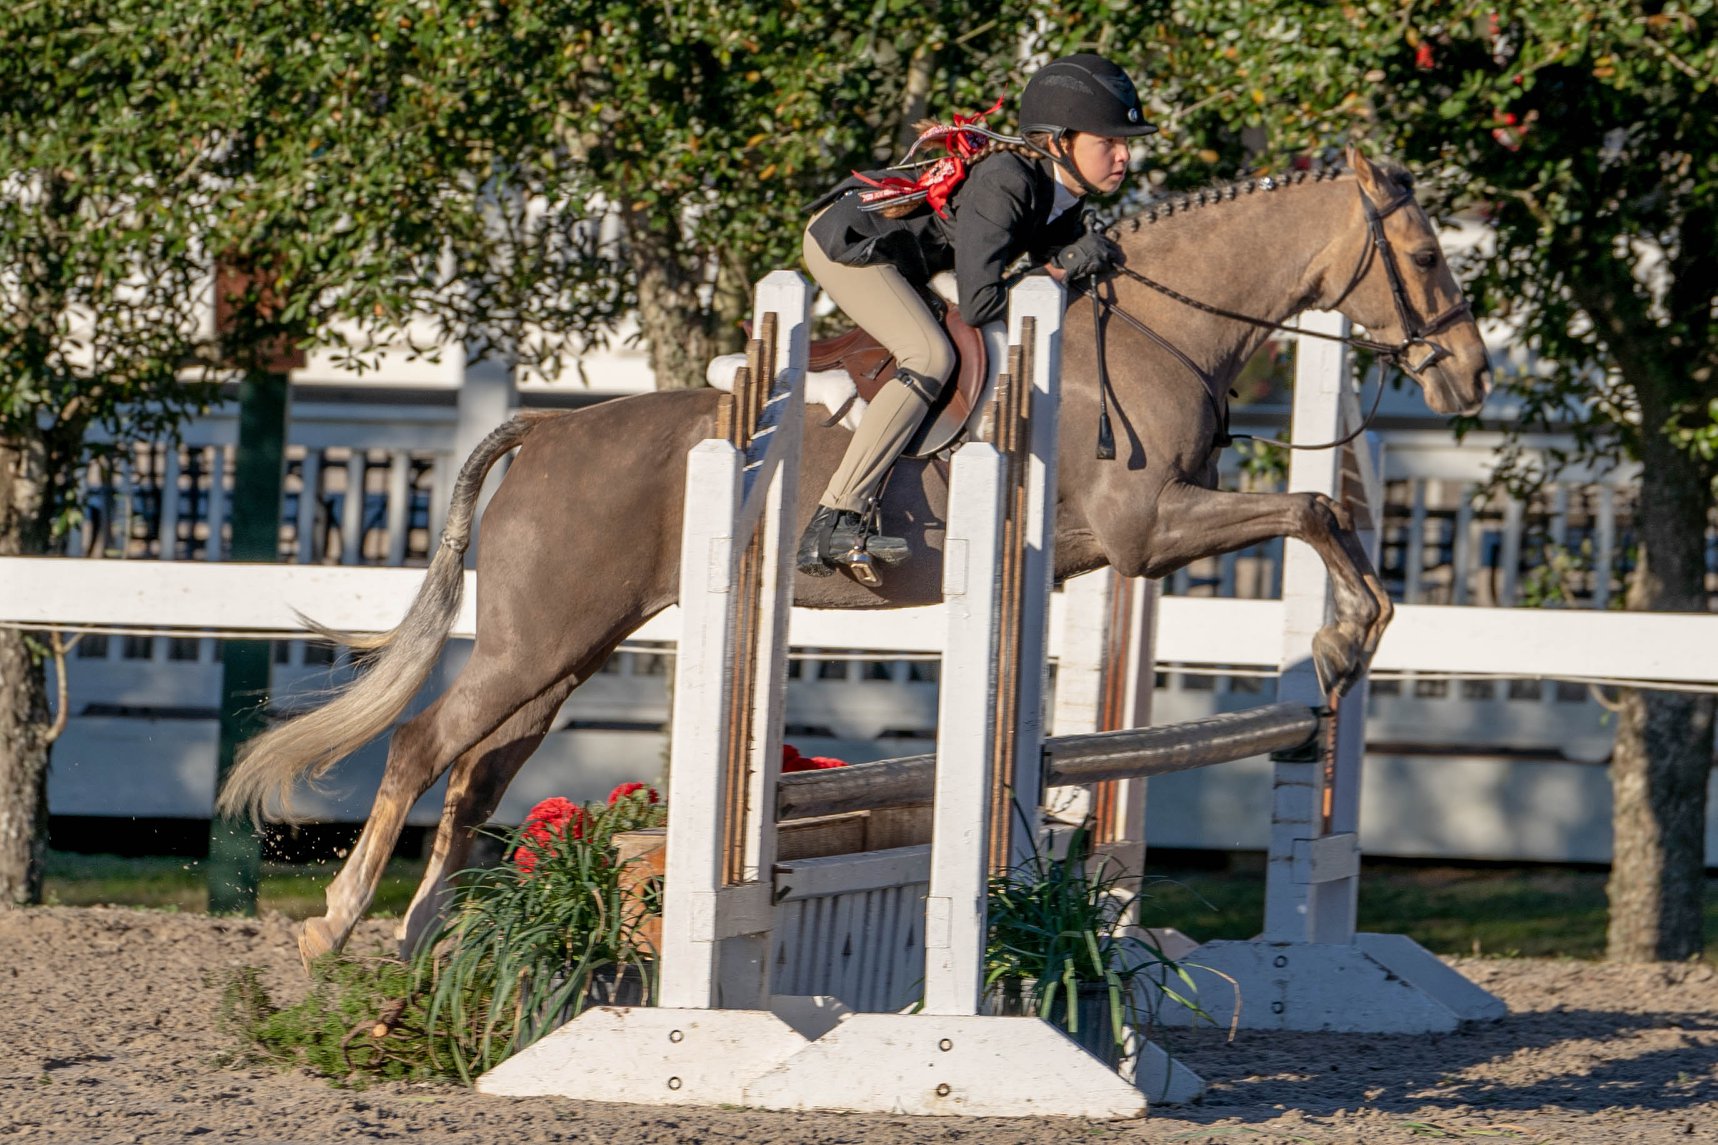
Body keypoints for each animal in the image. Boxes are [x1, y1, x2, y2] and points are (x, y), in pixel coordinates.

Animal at [218, 148, 1490, 964]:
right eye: (1426, 255)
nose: (1469, 376)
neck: (1151, 329)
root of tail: (549, 427)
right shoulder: (1147, 526)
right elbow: (1312, 507)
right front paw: (1342, 640)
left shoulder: (1130, 544)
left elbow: (1317, 511)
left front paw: (1344, 644)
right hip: (539, 638)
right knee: (422, 741)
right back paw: (338, 920)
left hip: (563, 649)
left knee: (480, 769)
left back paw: (414, 938)